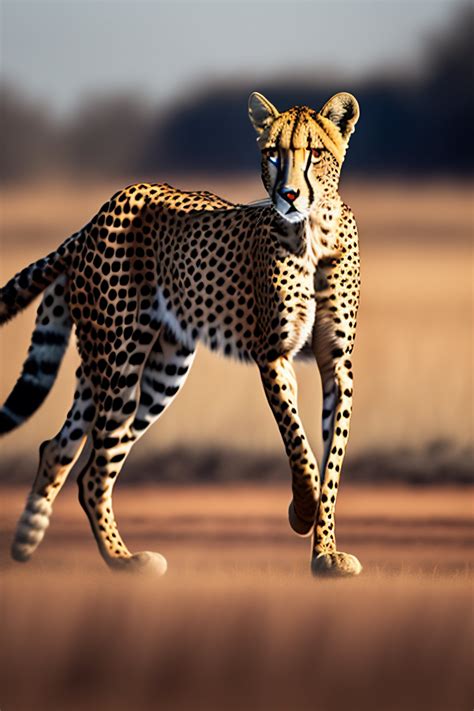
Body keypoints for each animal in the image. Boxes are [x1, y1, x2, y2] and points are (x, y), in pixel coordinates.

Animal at [0, 91, 361, 577]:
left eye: (316, 154)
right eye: (273, 153)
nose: (288, 195)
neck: (313, 232)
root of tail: (101, 212)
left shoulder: (337, 366)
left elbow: (331, 461)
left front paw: (325, 552)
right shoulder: (273, 354)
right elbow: (299, 444)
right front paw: (301, 512)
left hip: (153, 371)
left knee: (59, 447)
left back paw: (28, 539)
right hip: (120, 360)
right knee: (93, 471)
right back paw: (123, 560)